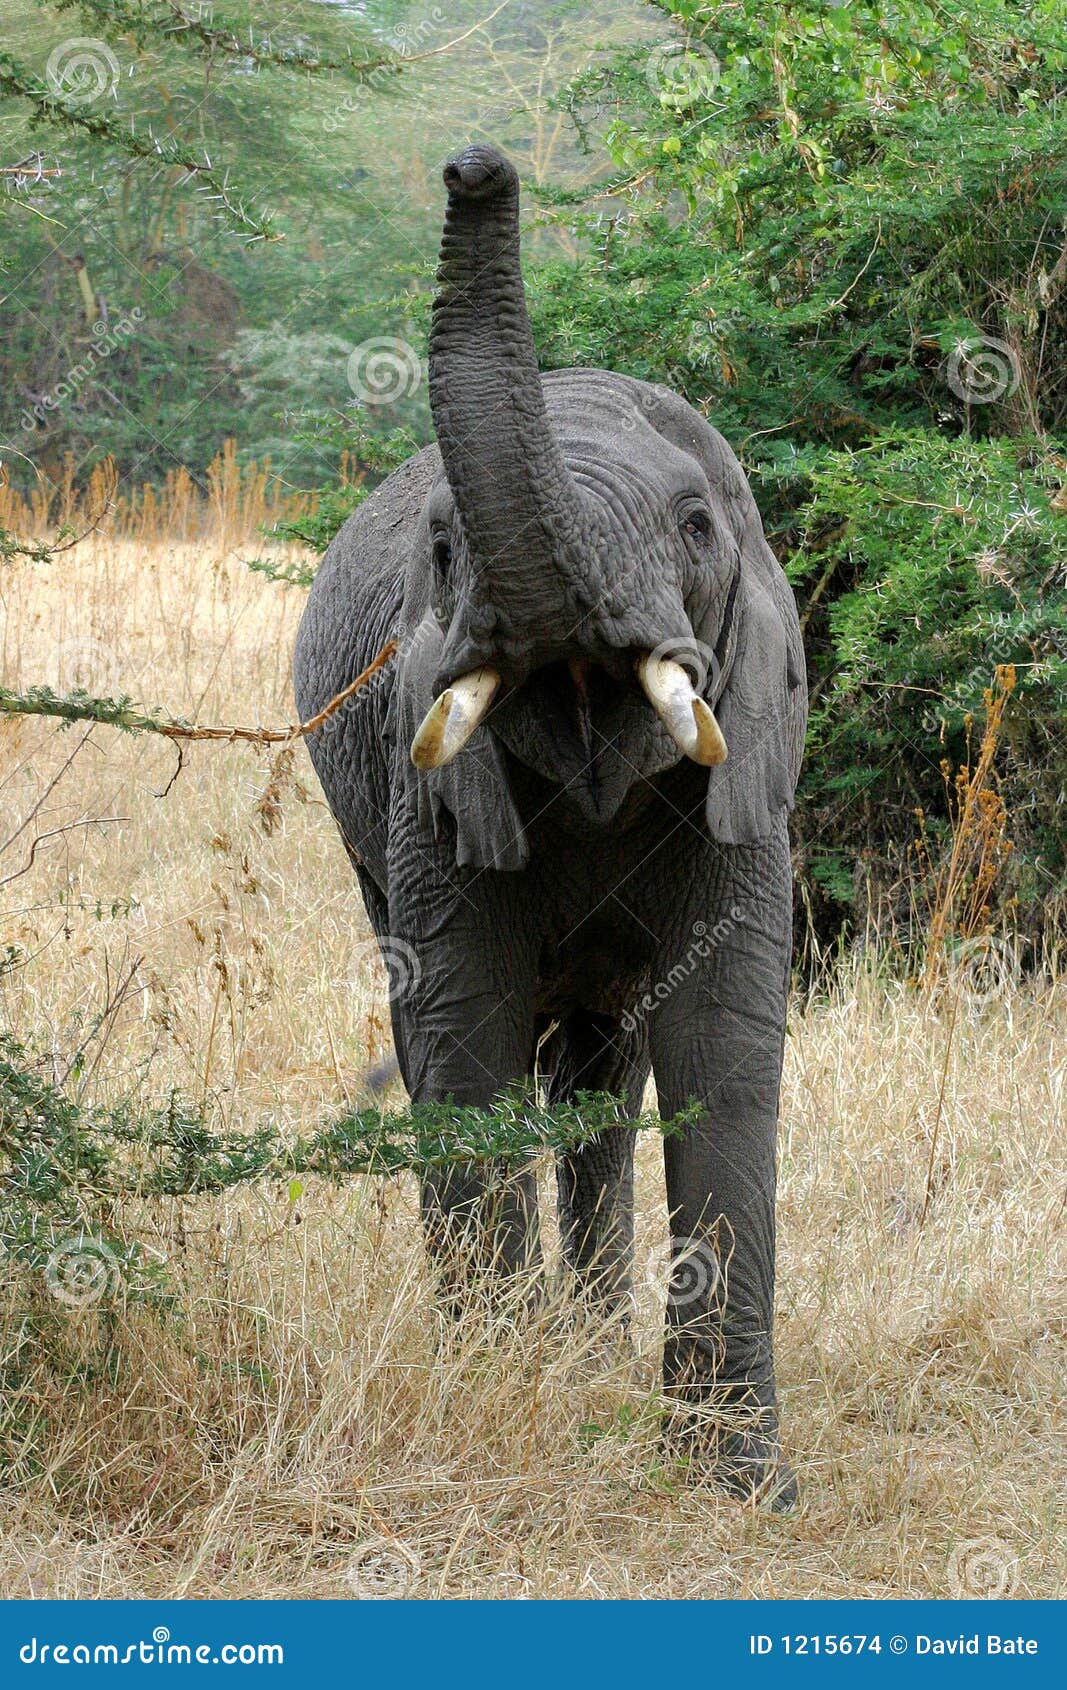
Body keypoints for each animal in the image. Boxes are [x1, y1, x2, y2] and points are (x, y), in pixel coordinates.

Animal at [293, 145, 806, 1507]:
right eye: (439, 545)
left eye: (696, 526)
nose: (475, 167)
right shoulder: (426, 779)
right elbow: (459, 1023)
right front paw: (491, 1399)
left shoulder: (748, 774)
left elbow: (718, 1040)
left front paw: (740, 1486)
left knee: (599, 1072)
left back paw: (583, 1354)